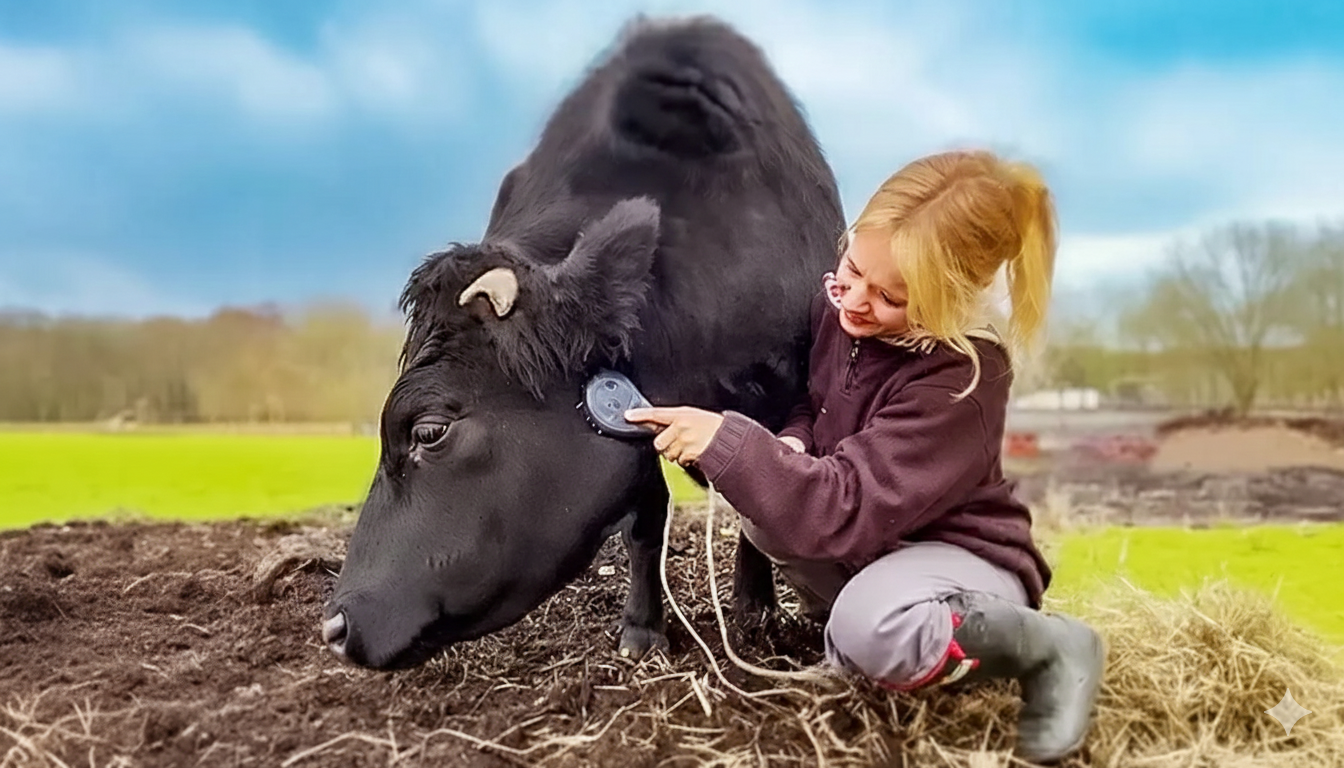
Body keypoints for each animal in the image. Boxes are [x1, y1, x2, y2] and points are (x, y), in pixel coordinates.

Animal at [322, 14, 846, 671]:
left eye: (429, 430)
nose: (334, 625)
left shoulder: (788, 390)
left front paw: (756, 609)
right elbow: (647, 520)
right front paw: (643, 630)